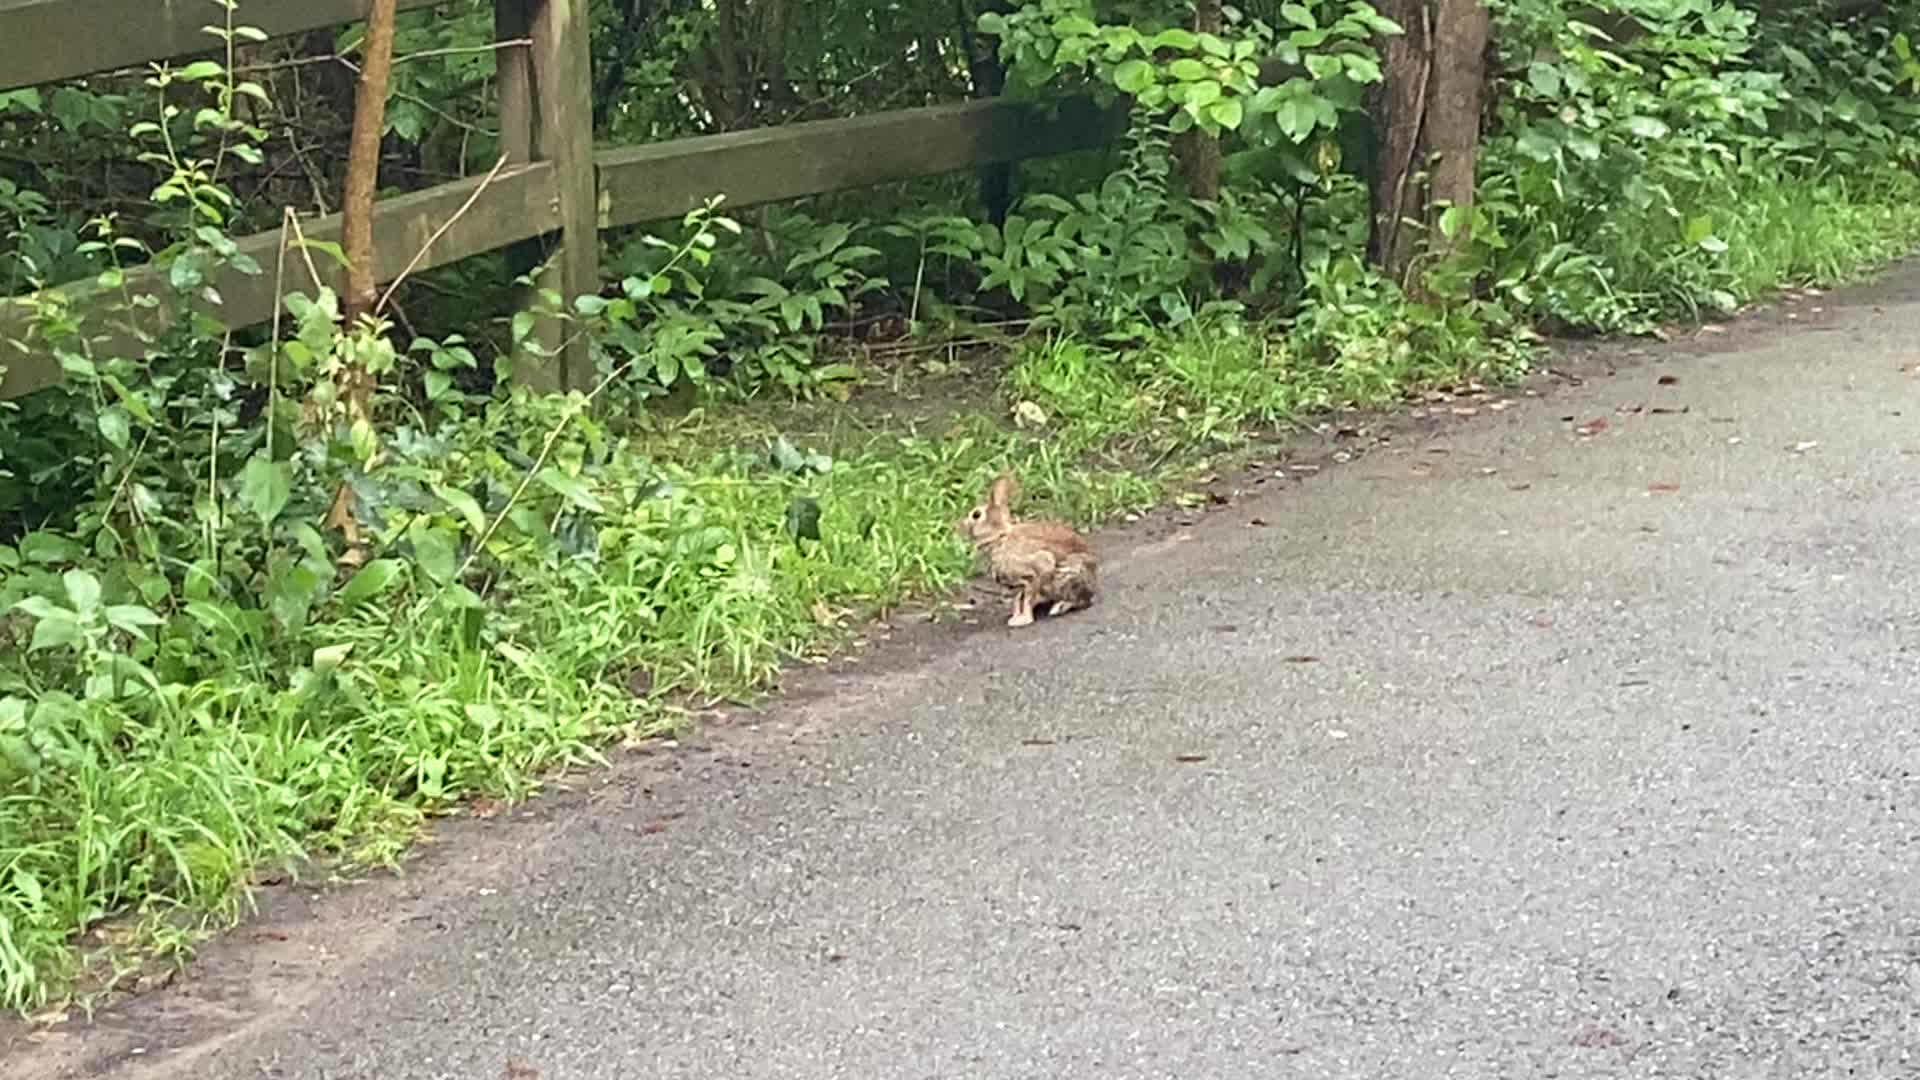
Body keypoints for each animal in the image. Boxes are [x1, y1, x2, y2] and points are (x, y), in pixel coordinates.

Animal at [955, 471, 1098, 627]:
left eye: (976, 515)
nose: (958, 527)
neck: (1000, 537)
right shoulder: (1020, 584)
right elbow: (1019, 600)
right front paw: (1015, 618)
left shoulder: (1036, 570)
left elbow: (1028, 598)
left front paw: (1022, 621)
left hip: (1068, 575)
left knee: (1080, 600)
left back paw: (1058, 608)